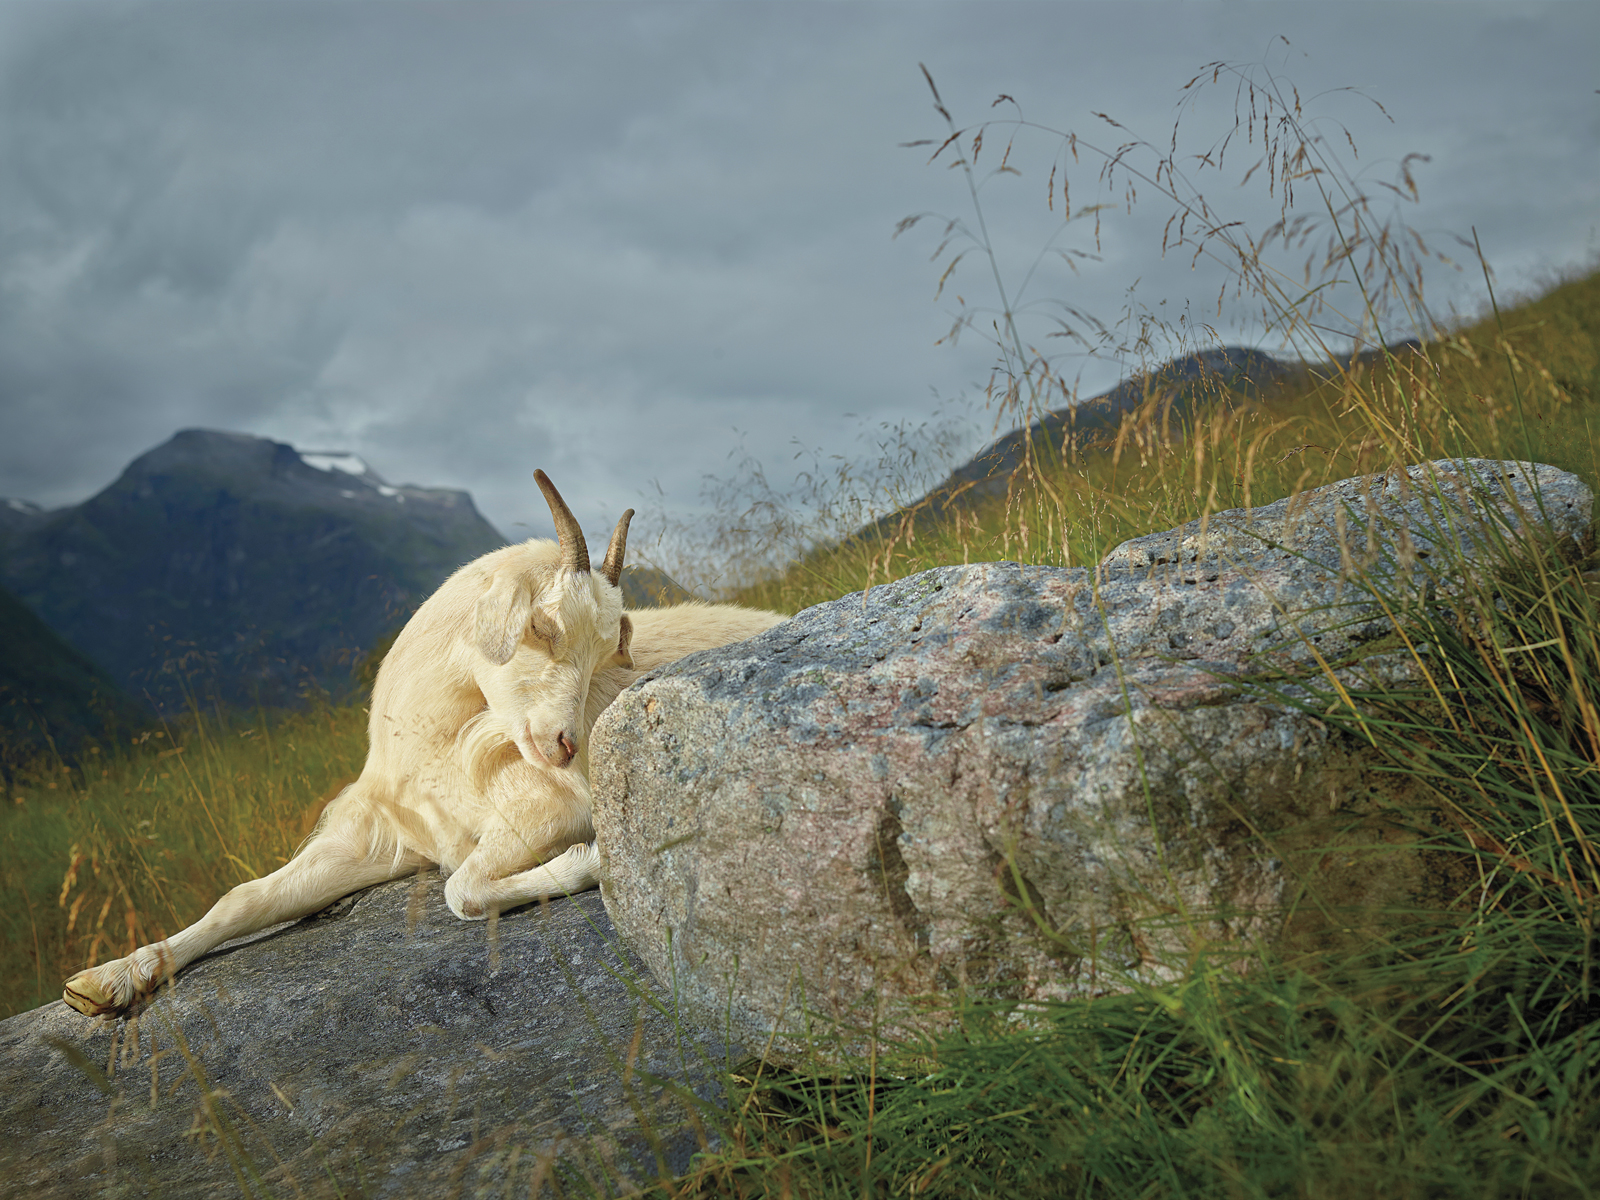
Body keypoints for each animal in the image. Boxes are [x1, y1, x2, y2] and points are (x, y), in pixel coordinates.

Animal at [62, 471, 786, 1017]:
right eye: (543, 625)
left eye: (609, 650)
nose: (565, 745)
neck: (435, 750)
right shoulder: (384, 836)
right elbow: (246, 898)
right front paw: (107, 981)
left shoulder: (544, 809)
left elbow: (461, 890)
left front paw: (588, 860)